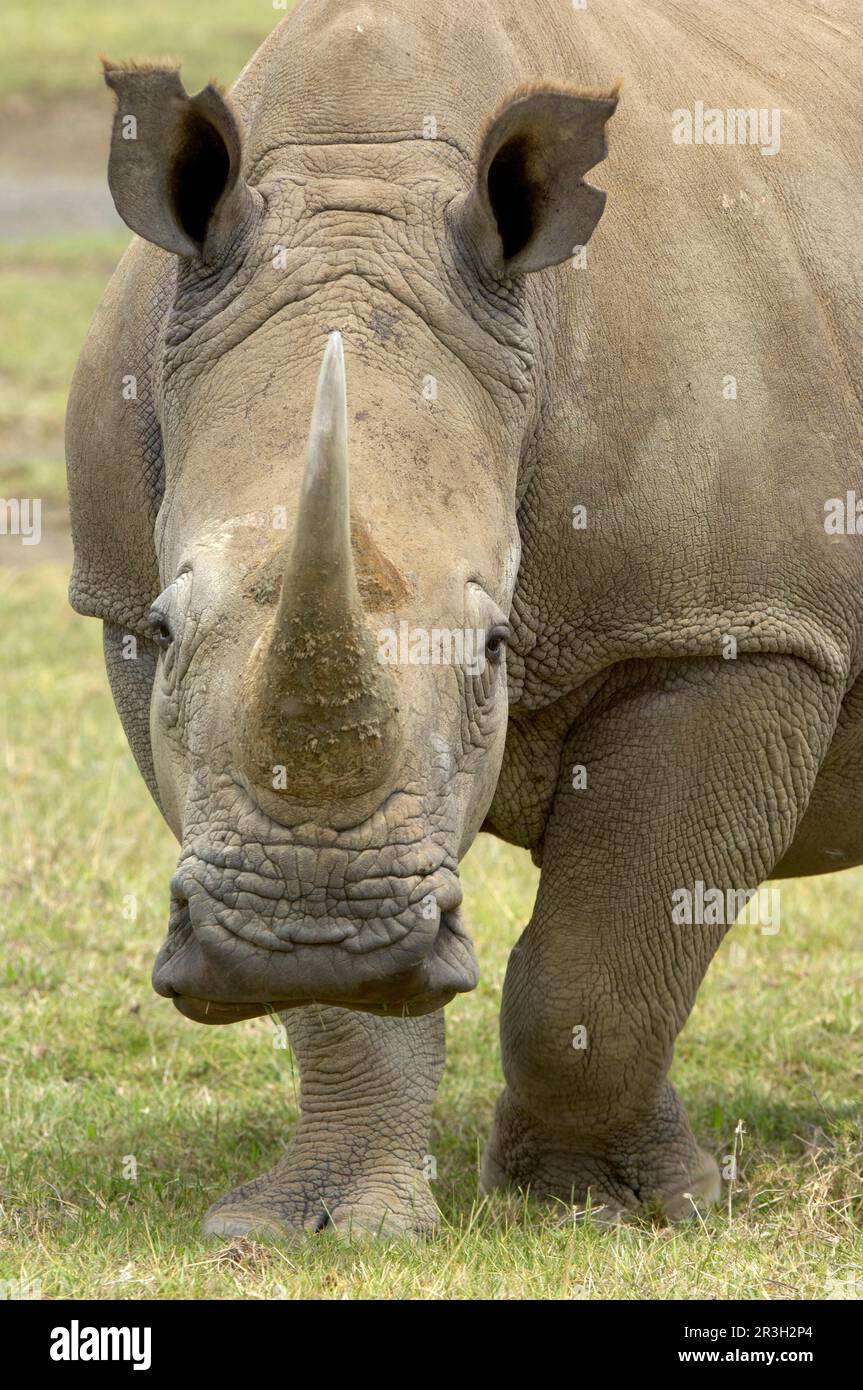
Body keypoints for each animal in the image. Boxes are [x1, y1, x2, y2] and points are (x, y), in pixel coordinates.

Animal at [66, 0, 863, 1238]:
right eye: (164, 628)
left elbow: (597, 966)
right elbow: (347, 1015)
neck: (364, 176)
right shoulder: (114, 606)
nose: (307, 932)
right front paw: (315, 1221)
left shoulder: (729, 629)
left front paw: (612, 1206)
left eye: (493, 647)